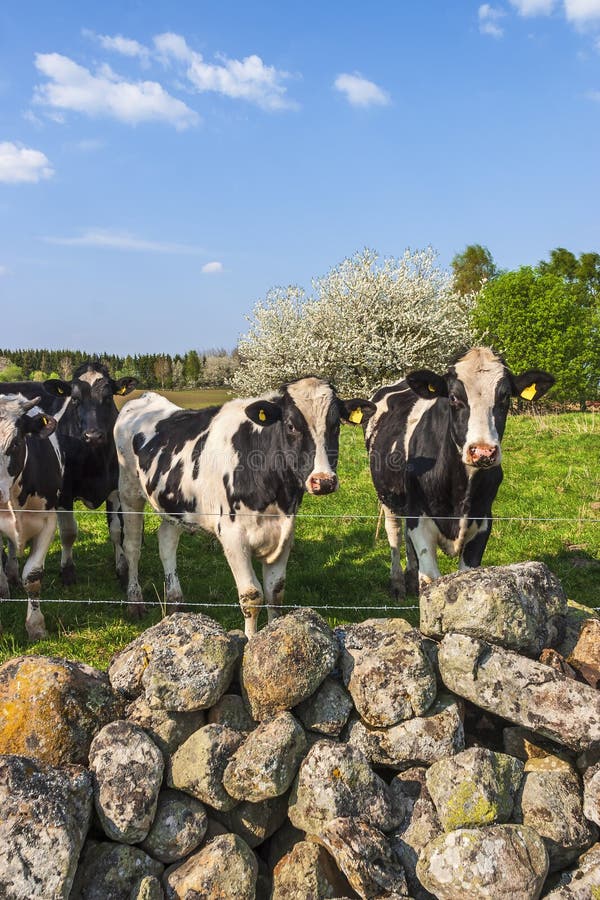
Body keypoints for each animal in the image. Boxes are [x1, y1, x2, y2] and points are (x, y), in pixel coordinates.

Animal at [114, 377, 375, 636]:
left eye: (336, 425)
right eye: (291, 425)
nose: (324, 481)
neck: (276, 497)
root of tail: (145, 397)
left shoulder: (285, 533)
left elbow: (275, 591)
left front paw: (272, 634)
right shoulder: (232, 536)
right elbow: (252, 596)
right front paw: (251, 639)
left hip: (172, 504)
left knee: (167, 542)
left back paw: (176, 605)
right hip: (128, 492)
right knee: (132, 546)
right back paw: (135, 602)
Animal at [365, 347, 555, 597]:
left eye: (505, 396)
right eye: (454, 397)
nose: (483, 451)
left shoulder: (483, 520)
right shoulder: (421, 520)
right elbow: (430, 579)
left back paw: (410, 577)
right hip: (388, 496)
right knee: (395, 531)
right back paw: (397, 583)